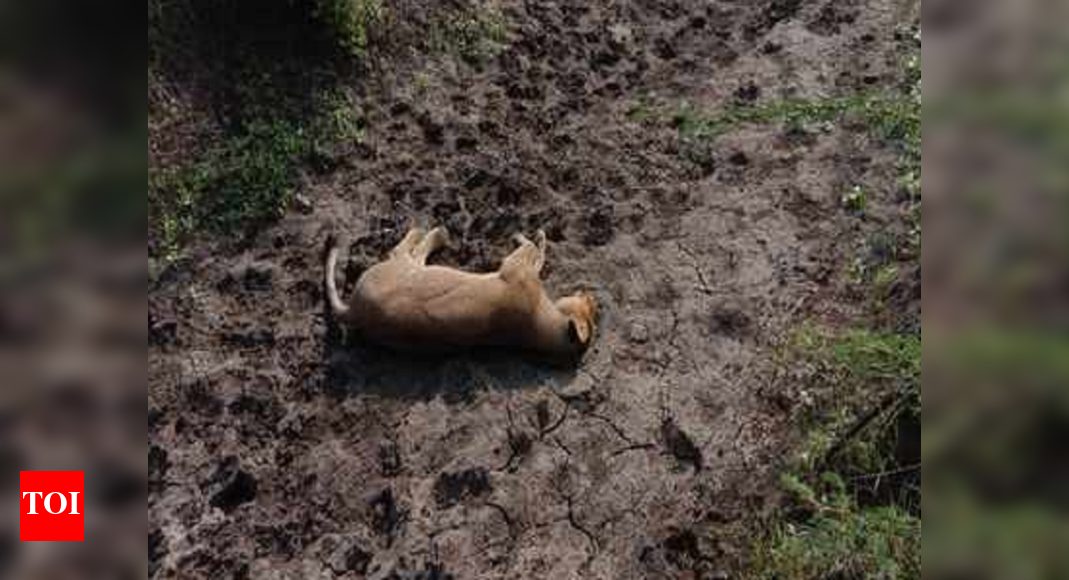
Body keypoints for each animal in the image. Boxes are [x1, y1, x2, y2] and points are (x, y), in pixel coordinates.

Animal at [324, 226, 598, 363]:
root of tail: (353, 312)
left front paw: (528, 235)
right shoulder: (517, 267)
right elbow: (538, 252)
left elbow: (533, 247)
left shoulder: (514, 267)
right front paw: (536, 235)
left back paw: (434, 231)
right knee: (407, 249)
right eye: (590, 307)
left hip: (406, 269)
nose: (592, 295)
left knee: (404, 249)